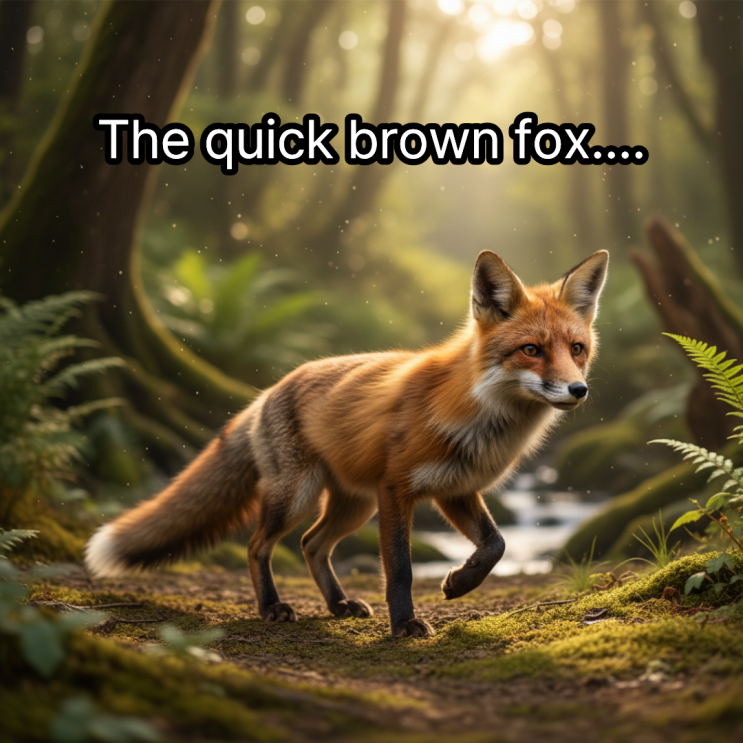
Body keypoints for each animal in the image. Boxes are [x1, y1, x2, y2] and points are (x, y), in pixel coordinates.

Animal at [86, 249, 608, 637]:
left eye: (576, 349)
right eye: (531, 350)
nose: (578, 390)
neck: (478, 414)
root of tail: (268, 391)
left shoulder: (455, 489)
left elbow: (496, 545)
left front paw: (459, 584)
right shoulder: (398, 489)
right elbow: (400, 569)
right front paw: (405, 625)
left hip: (354, 505)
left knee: (312, 544)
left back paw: (338, 604)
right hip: (299, 497)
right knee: (259, 545)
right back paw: (272, 607)